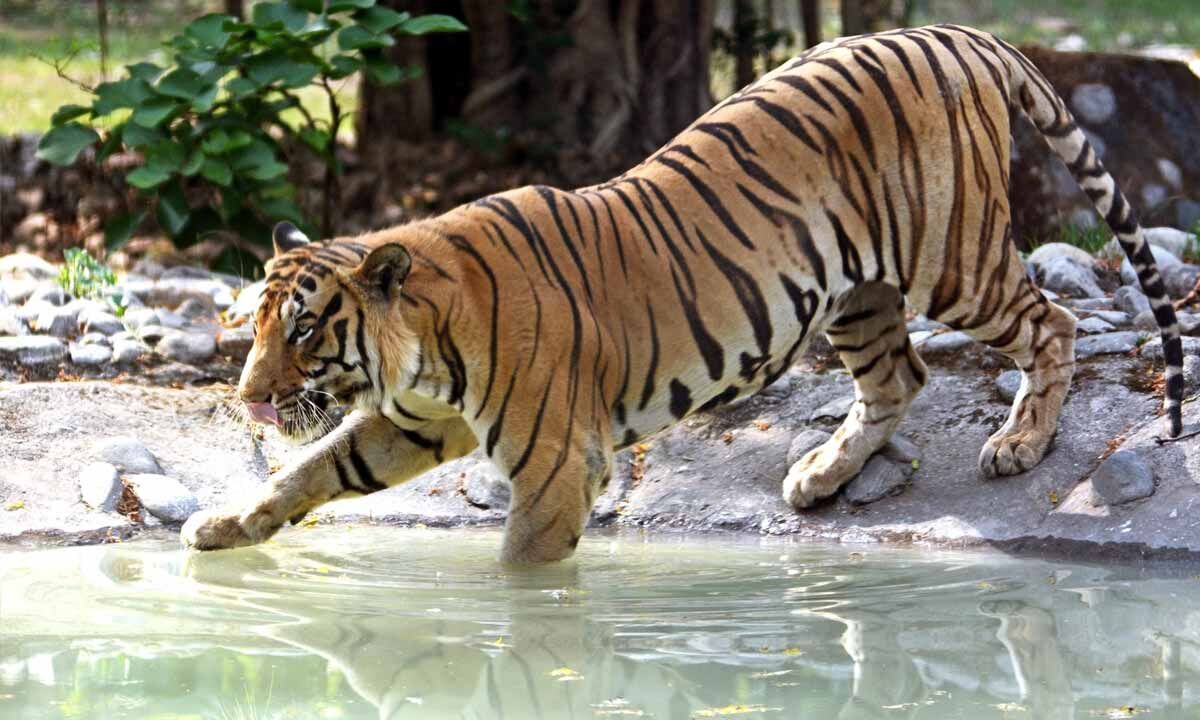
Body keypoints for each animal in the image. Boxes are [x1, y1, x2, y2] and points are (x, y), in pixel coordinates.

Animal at [182, 23, 1184, 563]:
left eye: (304, 332)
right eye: (254, 327)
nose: (249, 398)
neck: (425, 348)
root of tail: (951, 32)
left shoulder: (556, 461)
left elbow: (523, 572)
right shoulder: (417, 421)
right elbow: (312, 468)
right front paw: (225, 523)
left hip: (954, 254)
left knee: (1051, 321)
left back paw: (1020, 443)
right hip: (858, 291)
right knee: (899, 378)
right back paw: (819, 476)